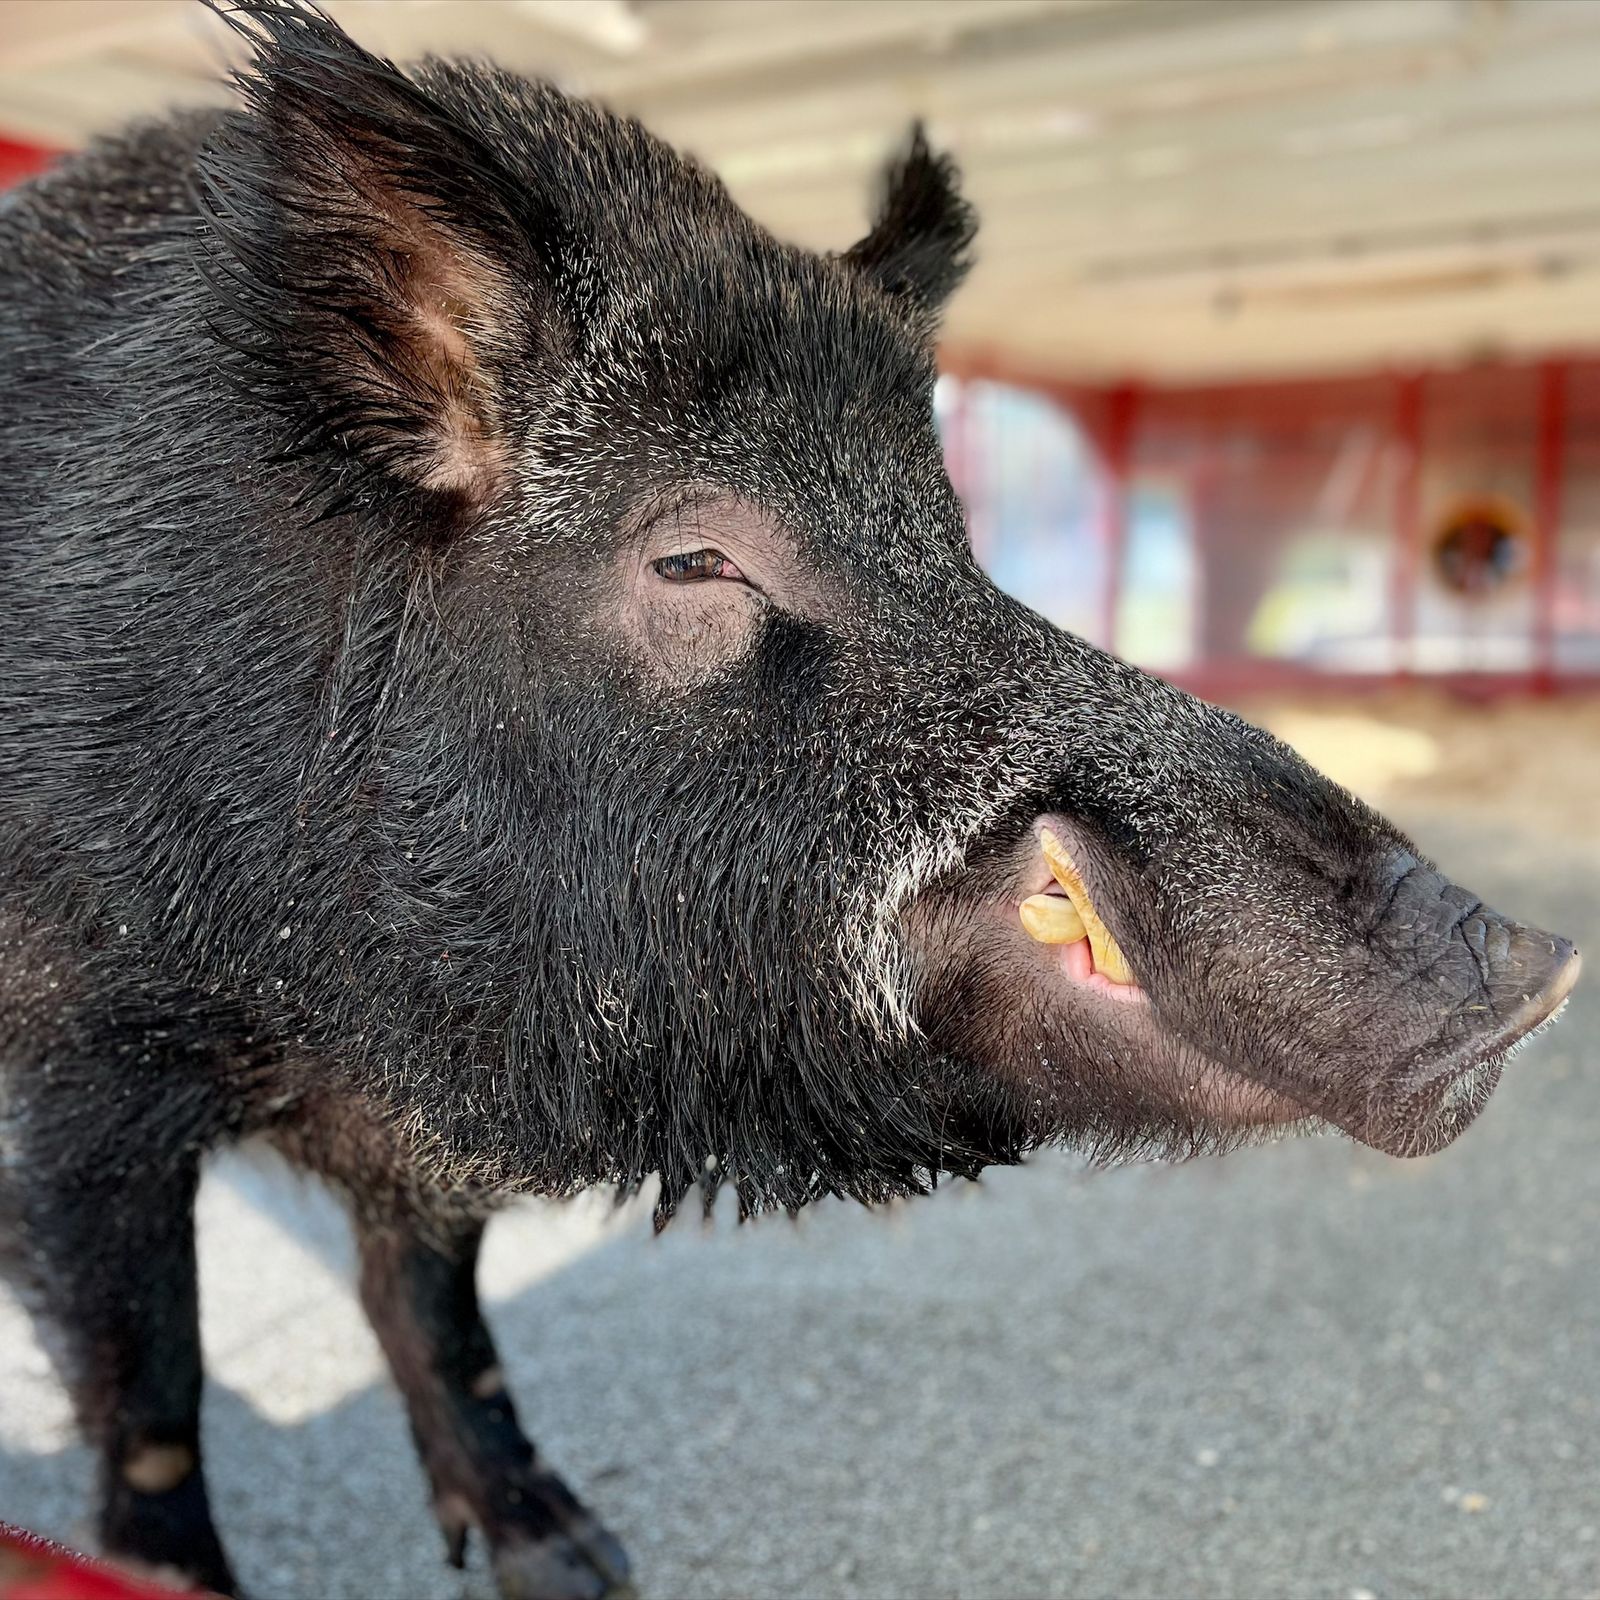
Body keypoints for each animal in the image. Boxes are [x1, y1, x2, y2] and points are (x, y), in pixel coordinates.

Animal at [0, 2, 1579, 1597]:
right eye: (696, 558)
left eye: (950, 535)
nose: (1530, 961)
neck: (329, 1005)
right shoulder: (78, 1060)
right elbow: (153, 1379)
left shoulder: (419, 1112)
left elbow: (438, 1303)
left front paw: (582, 1560)